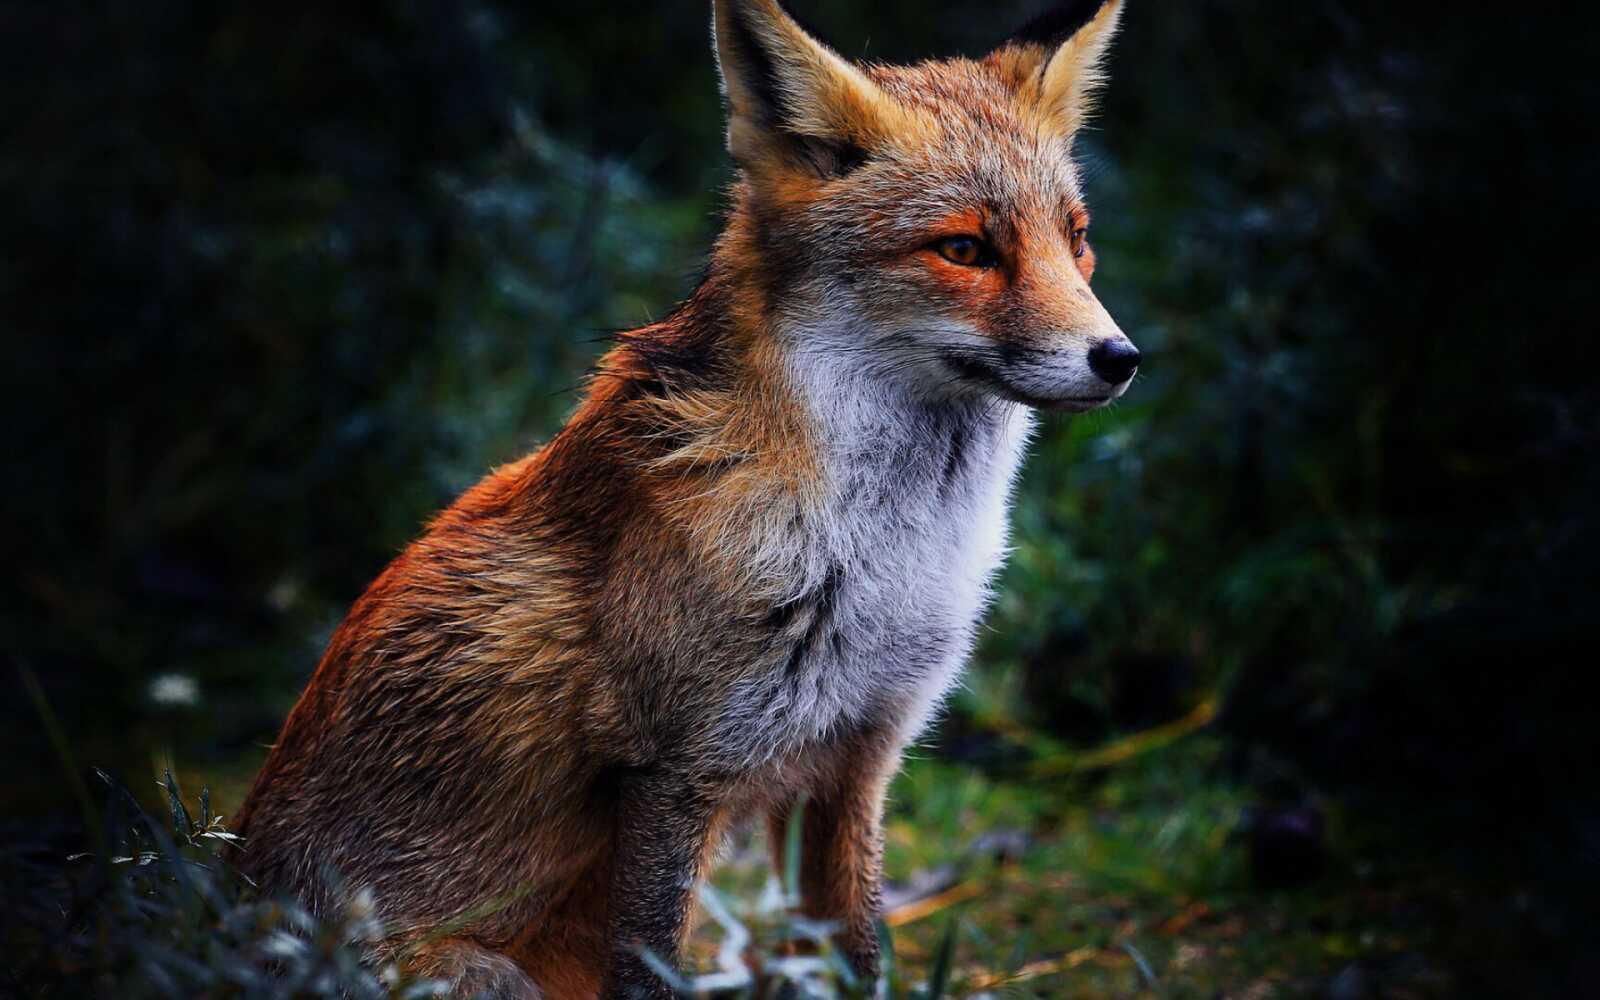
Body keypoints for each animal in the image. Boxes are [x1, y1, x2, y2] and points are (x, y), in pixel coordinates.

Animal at [230, 0, 1138, 996]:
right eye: (966, 249)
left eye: (1077, 237)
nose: (1119, 357)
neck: (884, 557)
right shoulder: (676, 772)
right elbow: (652, 963)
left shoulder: (856, 761)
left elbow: (858, 952)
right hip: (481, 971)